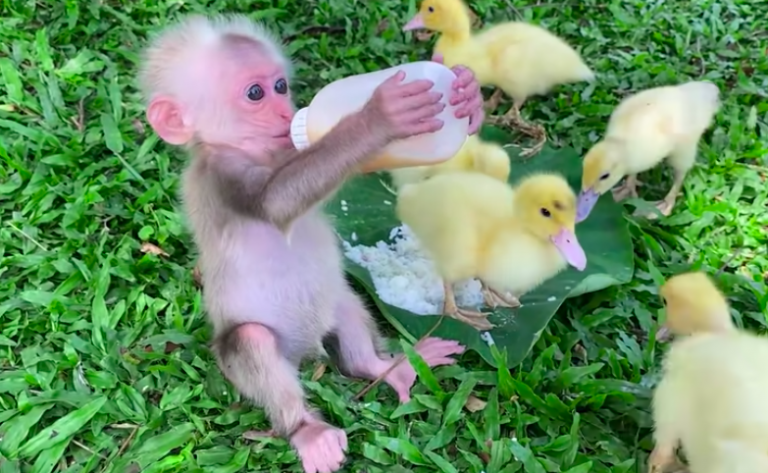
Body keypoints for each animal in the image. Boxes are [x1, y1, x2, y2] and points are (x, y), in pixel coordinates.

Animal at [139, 14, 484, 473]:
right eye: (255, 93)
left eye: (280, 85)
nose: (287, 112)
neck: (256, 152)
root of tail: (304, 351)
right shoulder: (223, 176)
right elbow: (277, 201)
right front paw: (378, 117)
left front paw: (469, 98)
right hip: (251, 347)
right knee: (252, 341)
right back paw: (307, 431)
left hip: (331, 307)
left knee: (346, 305)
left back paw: (390, 369)